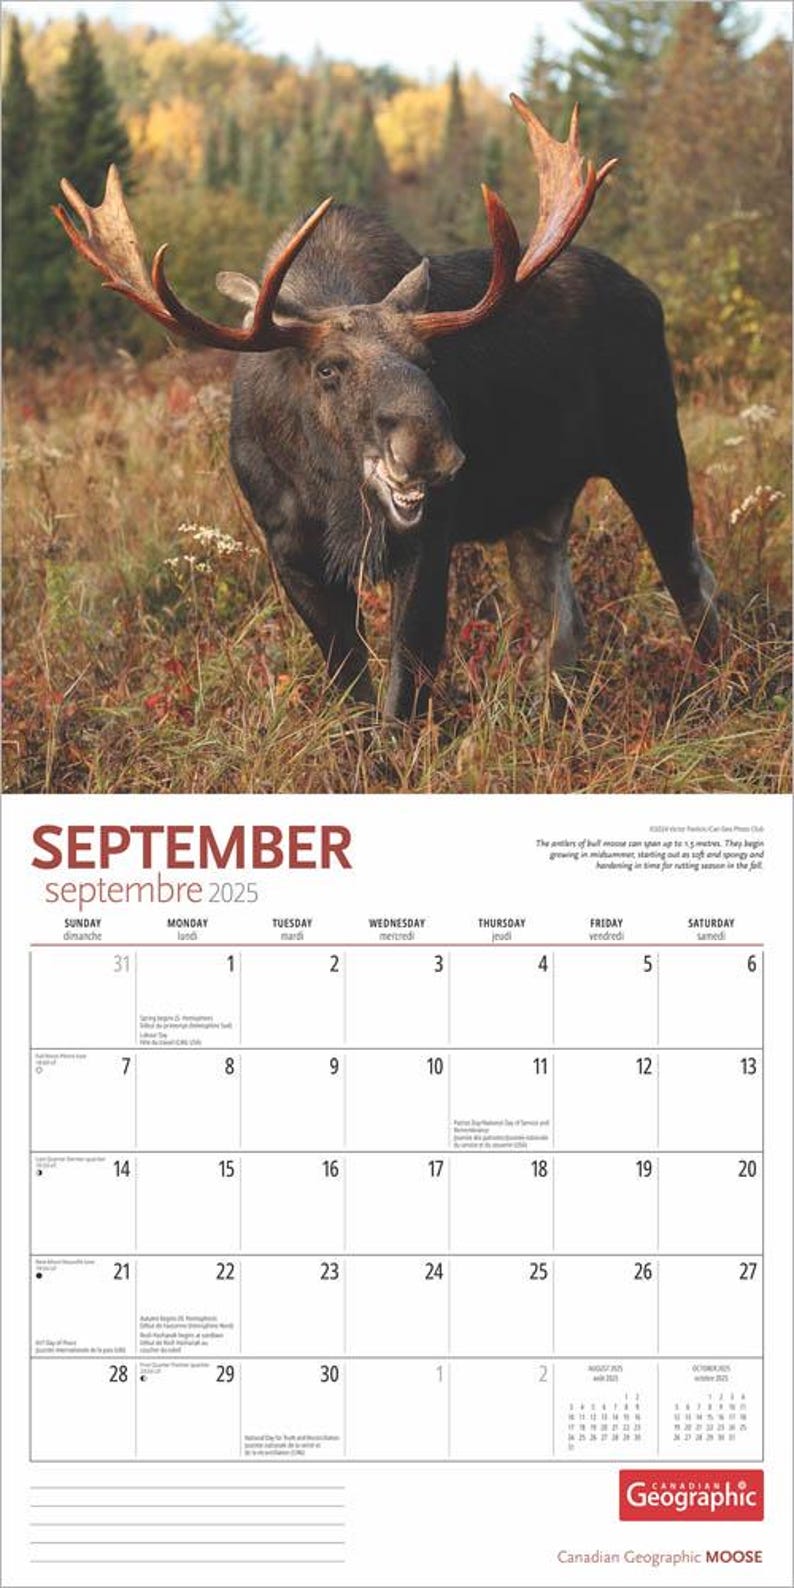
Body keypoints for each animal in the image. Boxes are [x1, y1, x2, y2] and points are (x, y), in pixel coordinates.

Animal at [54, 93, 718, 721]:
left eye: (428, 360)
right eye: (328, 369)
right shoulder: (288, 548)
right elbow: (350, 681)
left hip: (652, 446)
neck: (332, 492)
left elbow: (407, 678)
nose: (431, 451)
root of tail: (649, 295)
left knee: (695, 586)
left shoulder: (430, 536)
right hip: (541, 506)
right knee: (564, 623)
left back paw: (716, 693)